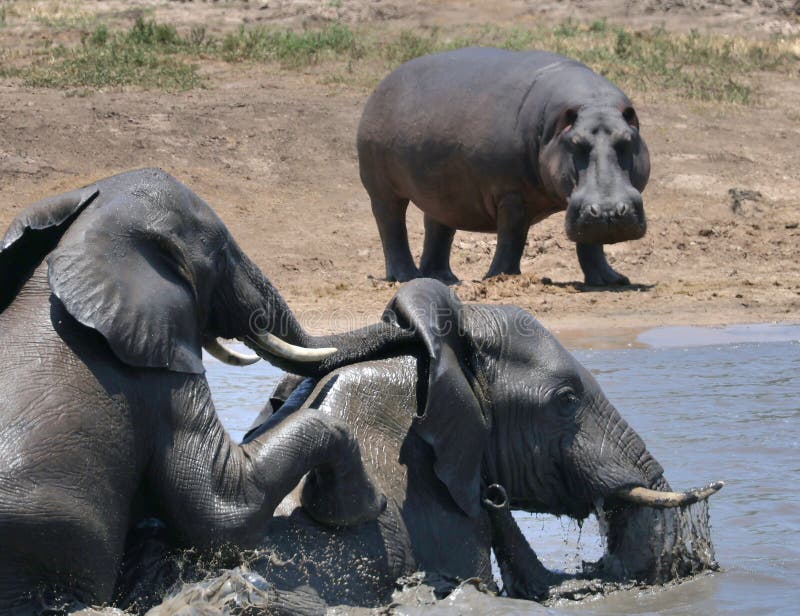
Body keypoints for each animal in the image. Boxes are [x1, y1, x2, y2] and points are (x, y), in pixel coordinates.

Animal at [357, 47, 650, 285]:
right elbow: (512, 237)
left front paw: (612, 280)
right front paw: (501, 278)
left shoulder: (580, 205)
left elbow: (591, 244)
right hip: (382, 191)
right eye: (576, 143)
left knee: (438, 227)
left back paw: (443, 278)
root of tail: (383, 83)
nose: (609, 211)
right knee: (392, 228)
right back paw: (405, 277)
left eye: (627, 140)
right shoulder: (511, 194)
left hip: (442, 192)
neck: (592, 104)